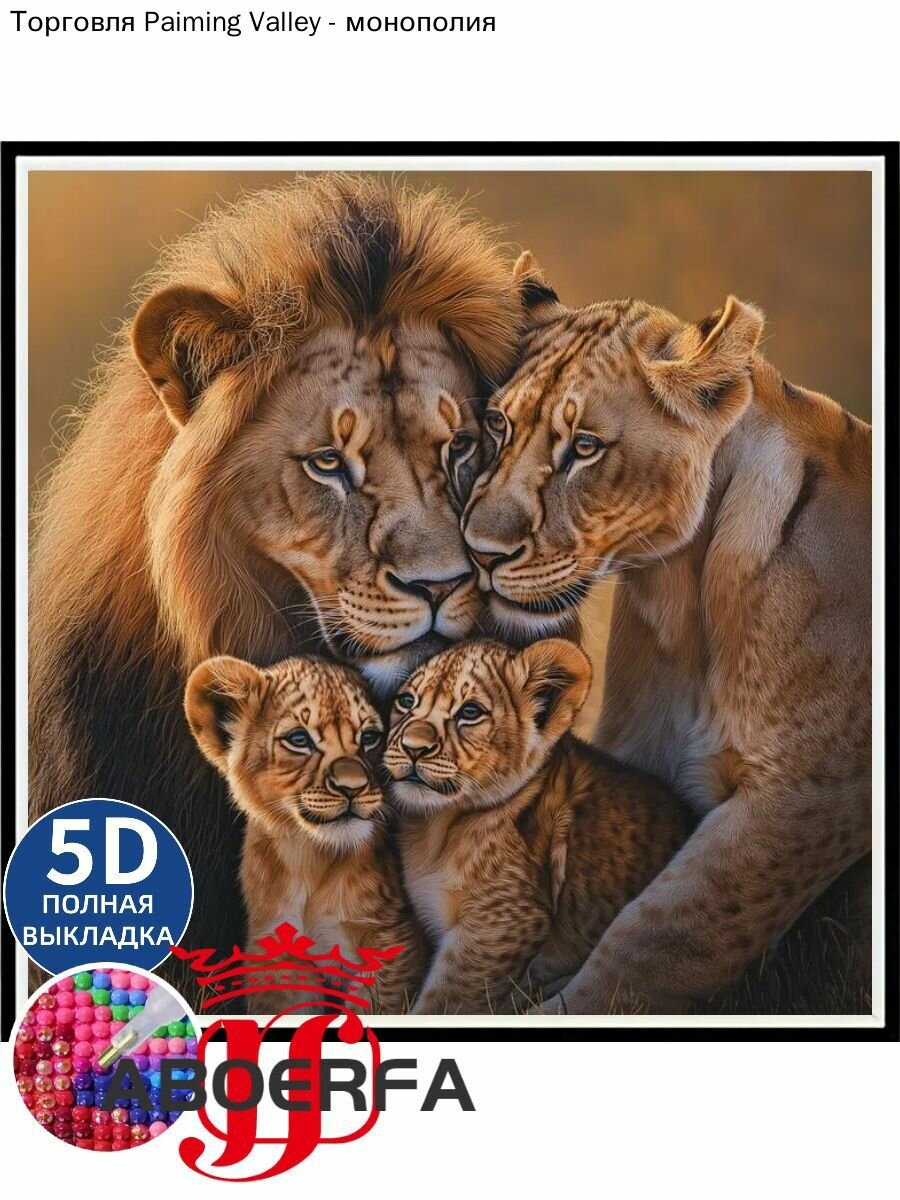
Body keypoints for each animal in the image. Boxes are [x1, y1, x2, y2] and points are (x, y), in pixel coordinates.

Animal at [184, 653, 426, 1015]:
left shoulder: (391, 941)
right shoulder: (277, 955)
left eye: (369, 736)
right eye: (299, 740)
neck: (309, 859)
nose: (352, 788)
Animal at [383, 638, 692, 1015]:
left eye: (470, 712)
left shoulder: (504, 923)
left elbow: (445, 1001)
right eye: (406, 701)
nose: (412, 748)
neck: (435, 828)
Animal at [462, 255, 872, 1013]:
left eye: (584, 449)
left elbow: (658, 938)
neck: (688, 599)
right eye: (498, 427)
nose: (480, 552)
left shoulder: (804, 800)